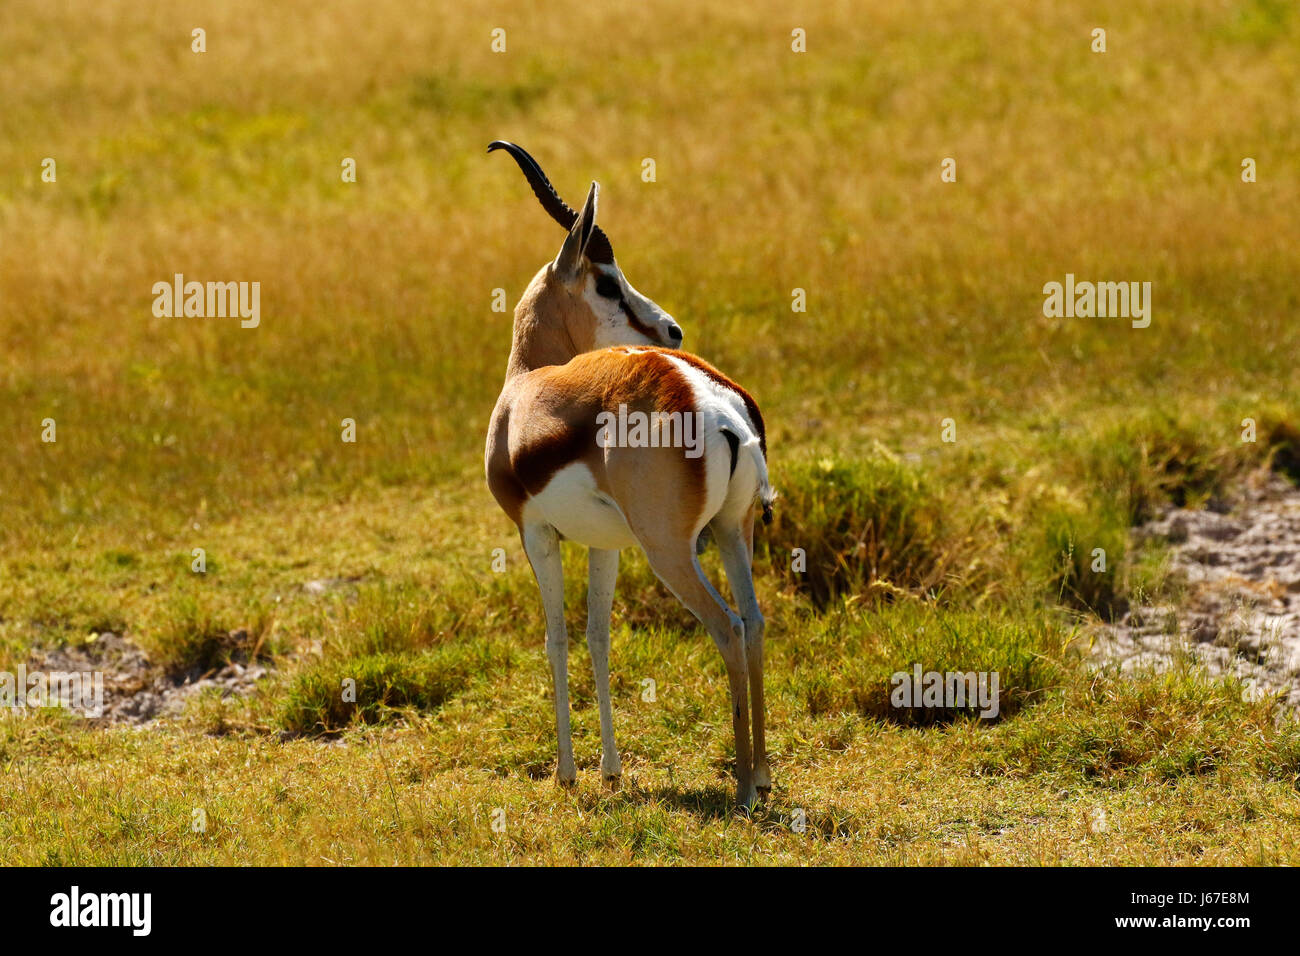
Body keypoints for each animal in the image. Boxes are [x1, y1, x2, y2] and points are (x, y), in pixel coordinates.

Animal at [484, 142, 775, 807]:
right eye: (608, 282)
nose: (672, 330)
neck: (525, 389)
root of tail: (719, 404)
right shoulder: (606, 544)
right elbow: (598, 635)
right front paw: (611, 771)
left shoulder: (535, 533)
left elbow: (557, 638)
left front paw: (568, 774)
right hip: (732, 530)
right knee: (753, 622)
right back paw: (764, 777)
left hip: (670, 550)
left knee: (727, 627)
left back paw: (744, 787)